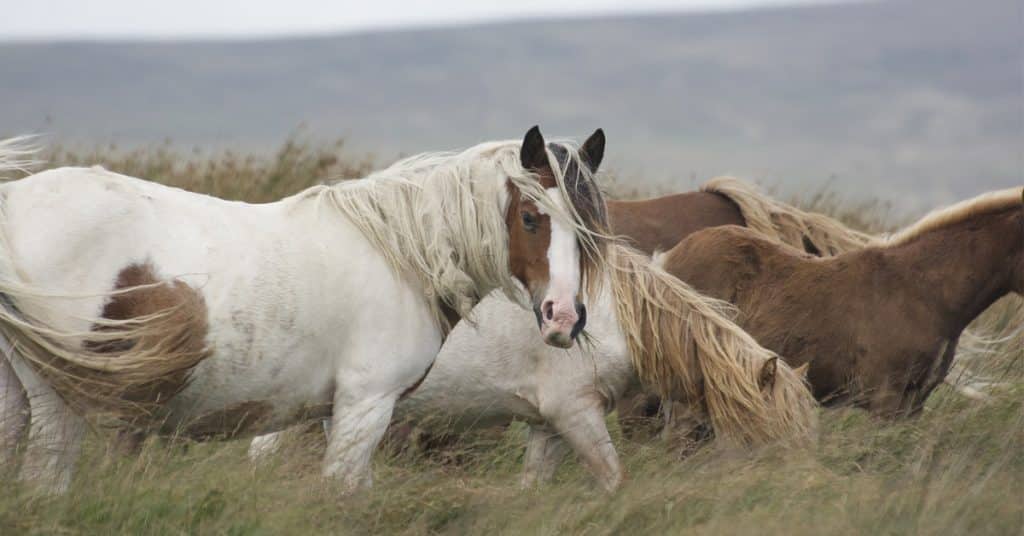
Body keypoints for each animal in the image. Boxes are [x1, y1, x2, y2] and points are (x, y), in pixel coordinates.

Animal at [0, 126, 609, 493]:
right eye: (530, 217)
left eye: (589, 225)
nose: (563, 317)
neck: (401, 253)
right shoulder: (366, 405)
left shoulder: (340, 411)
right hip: (59, 400)